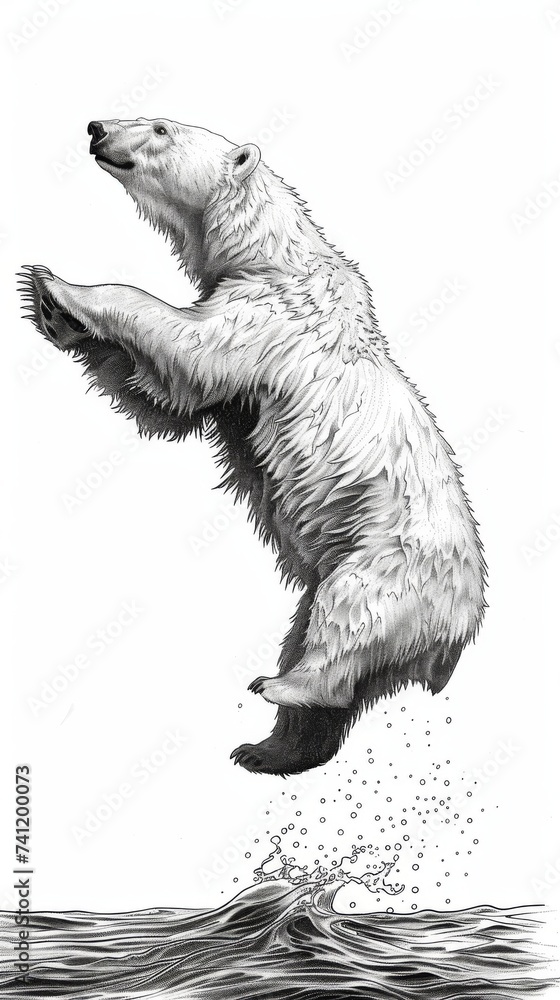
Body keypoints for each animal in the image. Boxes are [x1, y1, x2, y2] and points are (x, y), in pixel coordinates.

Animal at [19, 117, 486, 776]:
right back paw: (266, 750)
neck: (275, 253)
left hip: (389, 561)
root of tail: (460, 627)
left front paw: (59, 284)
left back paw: (283, 685)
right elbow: (171, 397)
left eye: (161, 127)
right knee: (318, 644)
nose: (96, 126)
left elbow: (190, 343)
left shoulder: (269, 314)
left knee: (347, 621)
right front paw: (55, 316)